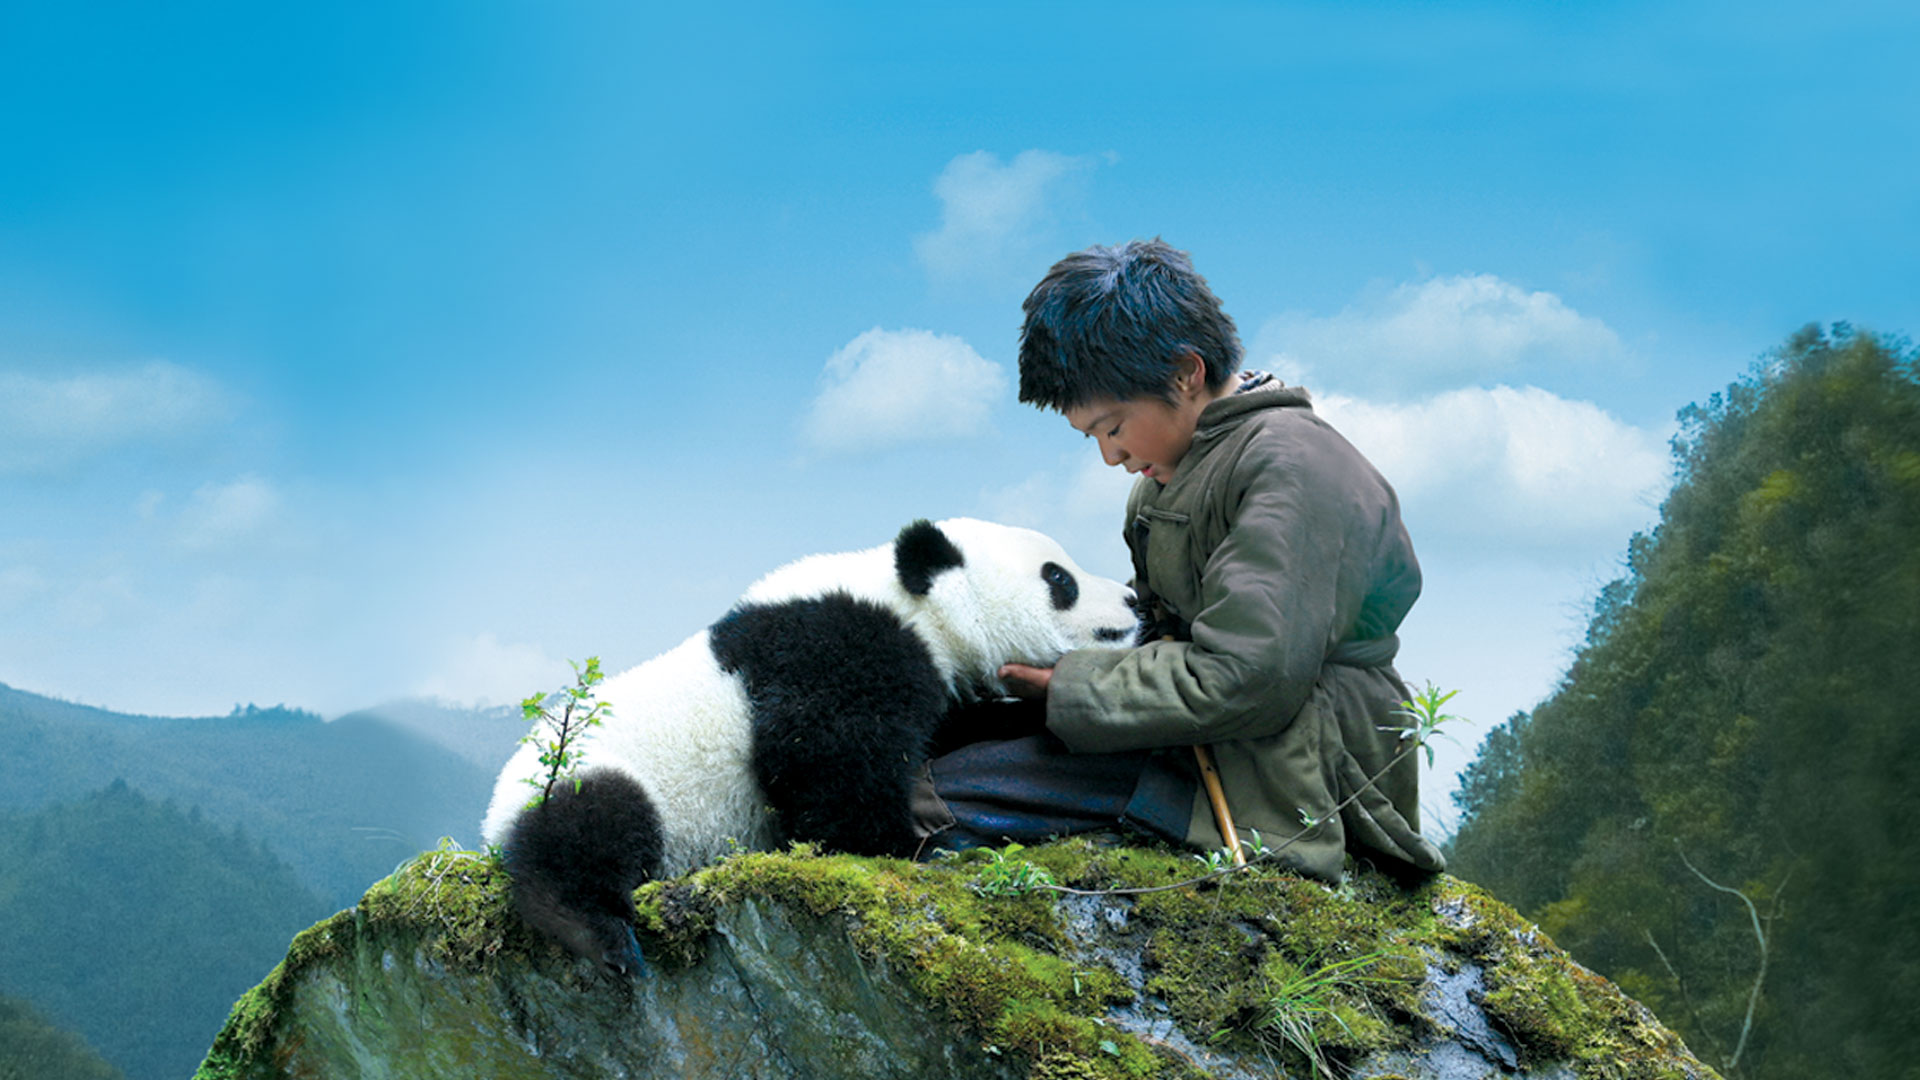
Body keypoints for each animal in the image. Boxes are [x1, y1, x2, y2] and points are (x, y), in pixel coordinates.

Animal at [480, 517, 1139, 973]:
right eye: (1059, 578)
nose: (1133, 601)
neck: (913, 604)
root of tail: (492, 816)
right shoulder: (836, 647)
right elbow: (825, 757)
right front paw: (891, 845)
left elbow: (945, 730)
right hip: (594, 773)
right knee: (586, 829)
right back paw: (598, 934)